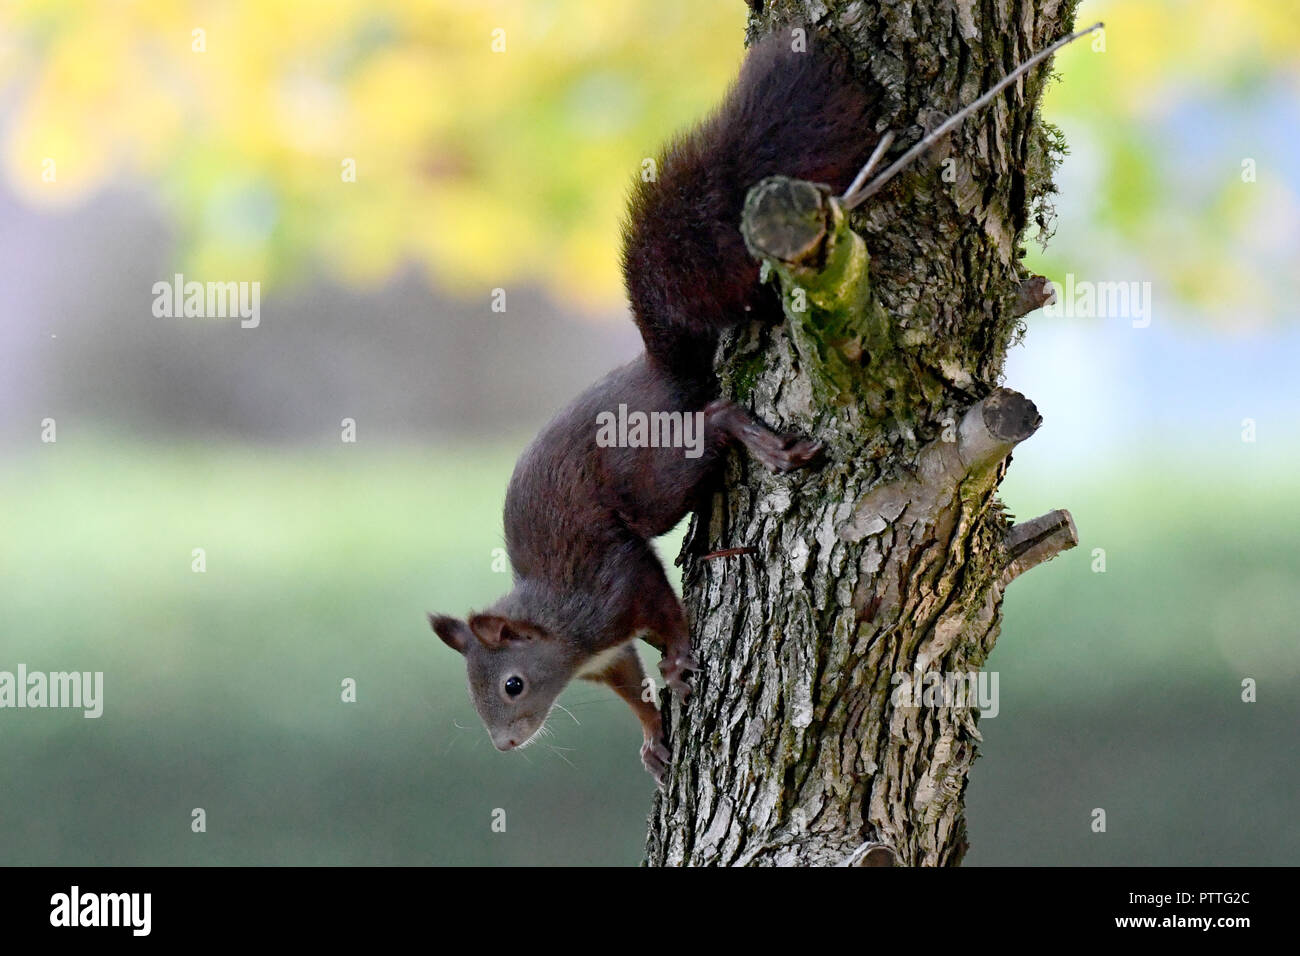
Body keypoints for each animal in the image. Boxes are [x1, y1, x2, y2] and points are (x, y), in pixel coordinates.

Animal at [429, 24, 1102, 784]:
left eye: (513, 684)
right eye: (476, 693)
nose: (505, 744)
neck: (558, 626)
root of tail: (658, 372)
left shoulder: (609, 589)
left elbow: (659, 604)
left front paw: (682, 655)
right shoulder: (606, 652)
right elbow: (631, 685)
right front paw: (653, 736)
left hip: (646, 471)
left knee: (706, 429)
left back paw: (757, 440)